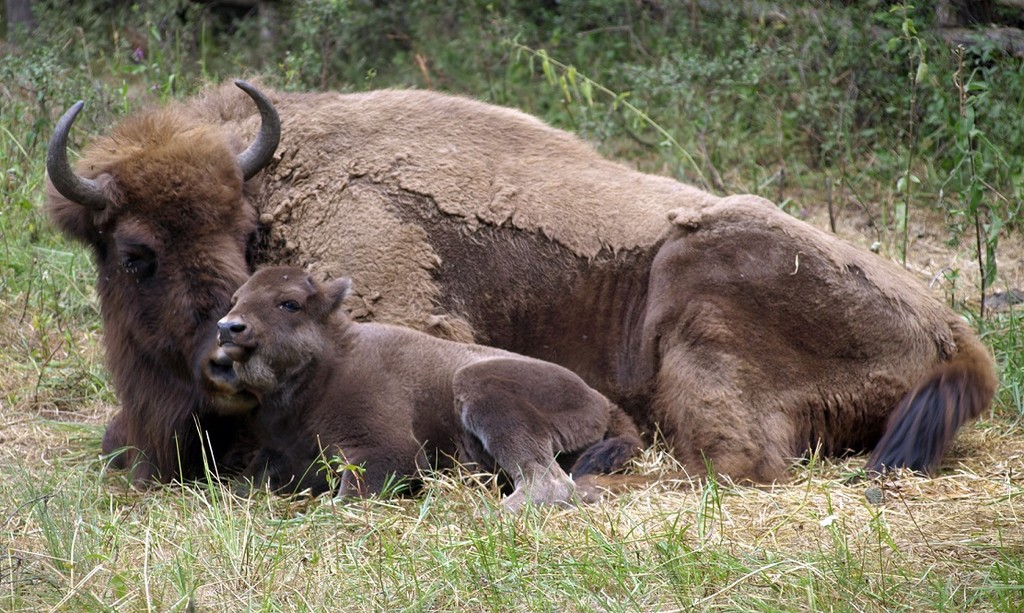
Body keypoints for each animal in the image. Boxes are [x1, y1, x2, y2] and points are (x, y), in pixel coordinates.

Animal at [45, 80, 997, 487]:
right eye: (134, 252)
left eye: (247, 236)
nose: (220, 352)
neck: (283, 179)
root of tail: (955, 334)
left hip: (694, 287)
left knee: (730, 460)